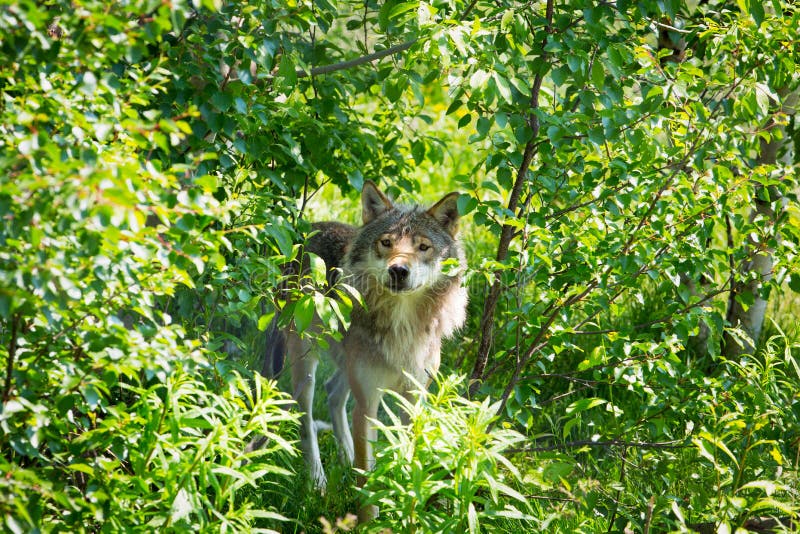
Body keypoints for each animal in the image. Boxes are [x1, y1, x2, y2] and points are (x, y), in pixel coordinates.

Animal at [264, 181, 467, 521]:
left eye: (423, 247)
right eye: (386, 242)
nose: (398, 270)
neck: (402, 327)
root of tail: (308, 229)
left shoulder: (412, 402)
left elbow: (407, 465)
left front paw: (407, 514)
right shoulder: (368, 406)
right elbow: (367, 478)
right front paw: (370, 522)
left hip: (347, 366)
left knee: (333, 393)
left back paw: (344, 462)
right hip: (306, 365)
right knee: (306, 418)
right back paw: (317, 482)